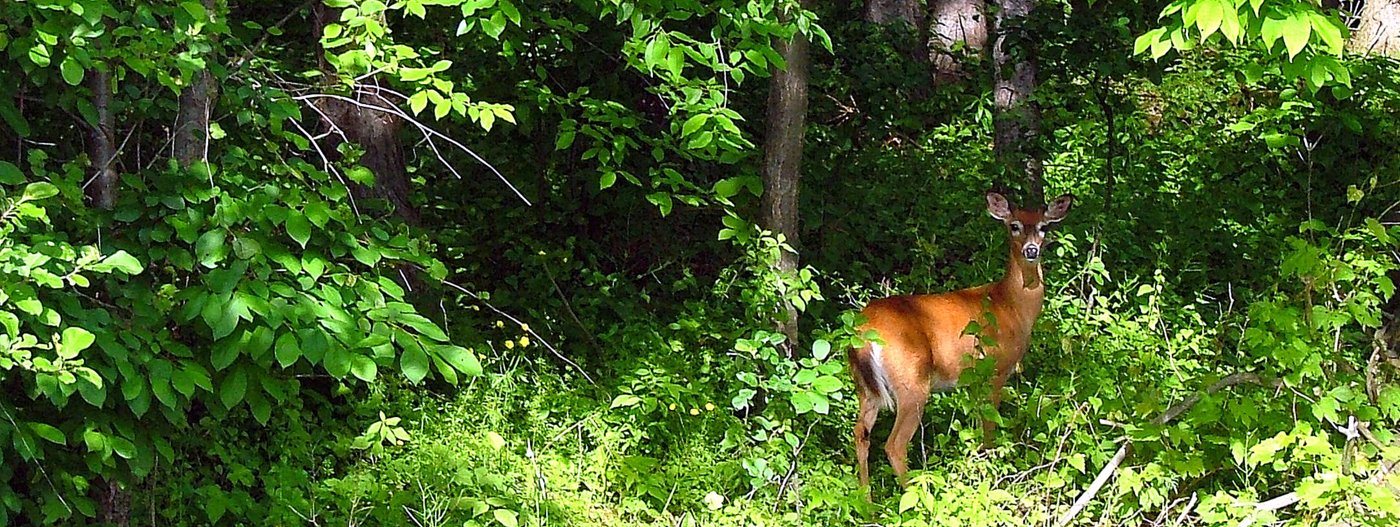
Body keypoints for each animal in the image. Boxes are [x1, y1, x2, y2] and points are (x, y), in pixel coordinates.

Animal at [848, 190, 1073, 488]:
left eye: (1043, 227)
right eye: (1013, 225)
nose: (1031, 250)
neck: (1010, 305)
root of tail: (866, 330)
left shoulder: (973, 380)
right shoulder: (995, 368)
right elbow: (989, 429)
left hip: (865, 387)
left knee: (860, 433)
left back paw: (865, 497)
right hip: (911, 380)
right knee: (894, 444)